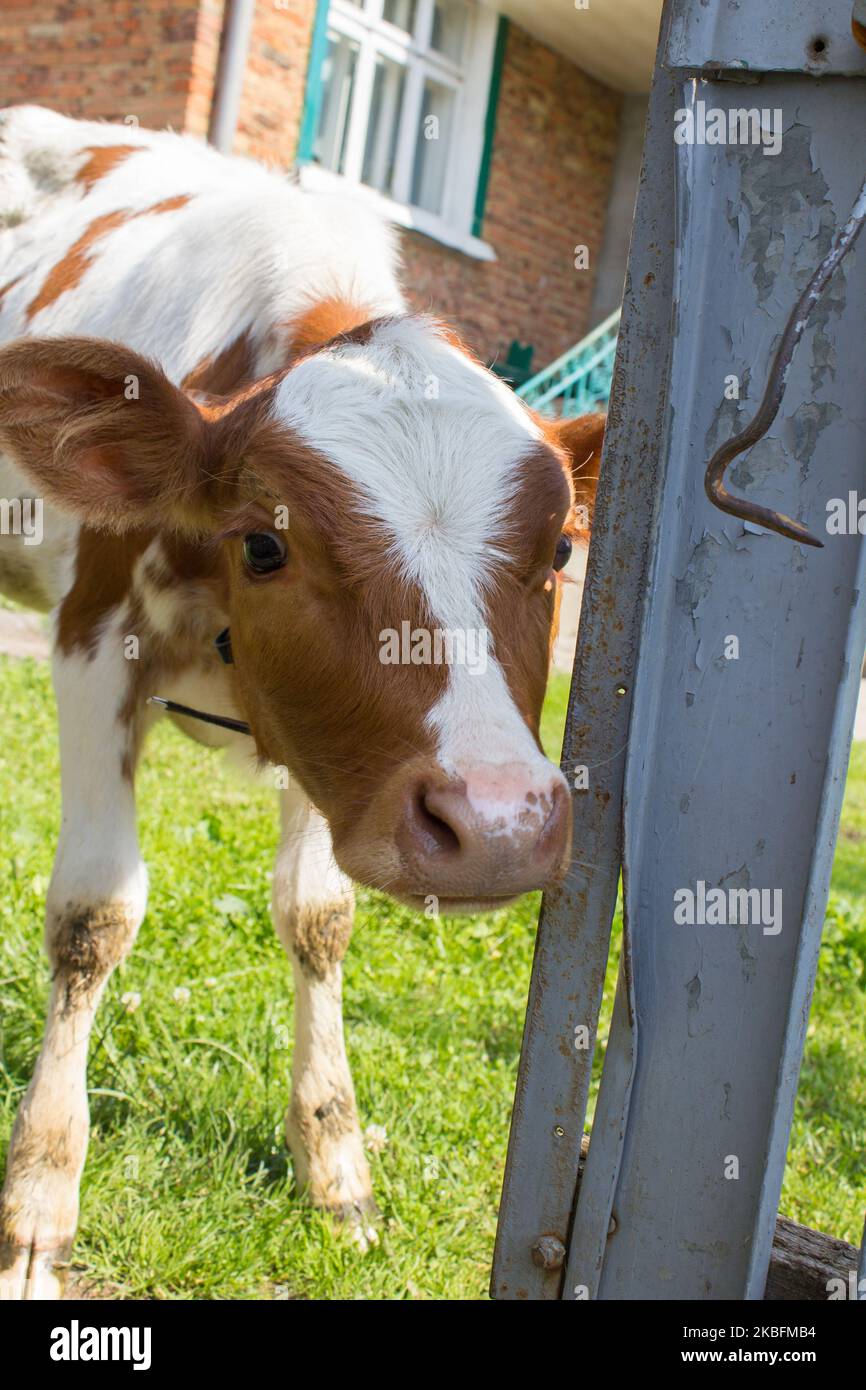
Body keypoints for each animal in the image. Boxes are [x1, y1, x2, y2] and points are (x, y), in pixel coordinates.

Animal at [0, 105, 605, 1298]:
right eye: (264, 543)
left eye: (560, 549)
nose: (500, 824)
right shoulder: (92, 644)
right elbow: (94, 913)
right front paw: (40, 1199)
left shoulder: (338, 751)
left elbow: (318, 916)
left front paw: (336, 1164)